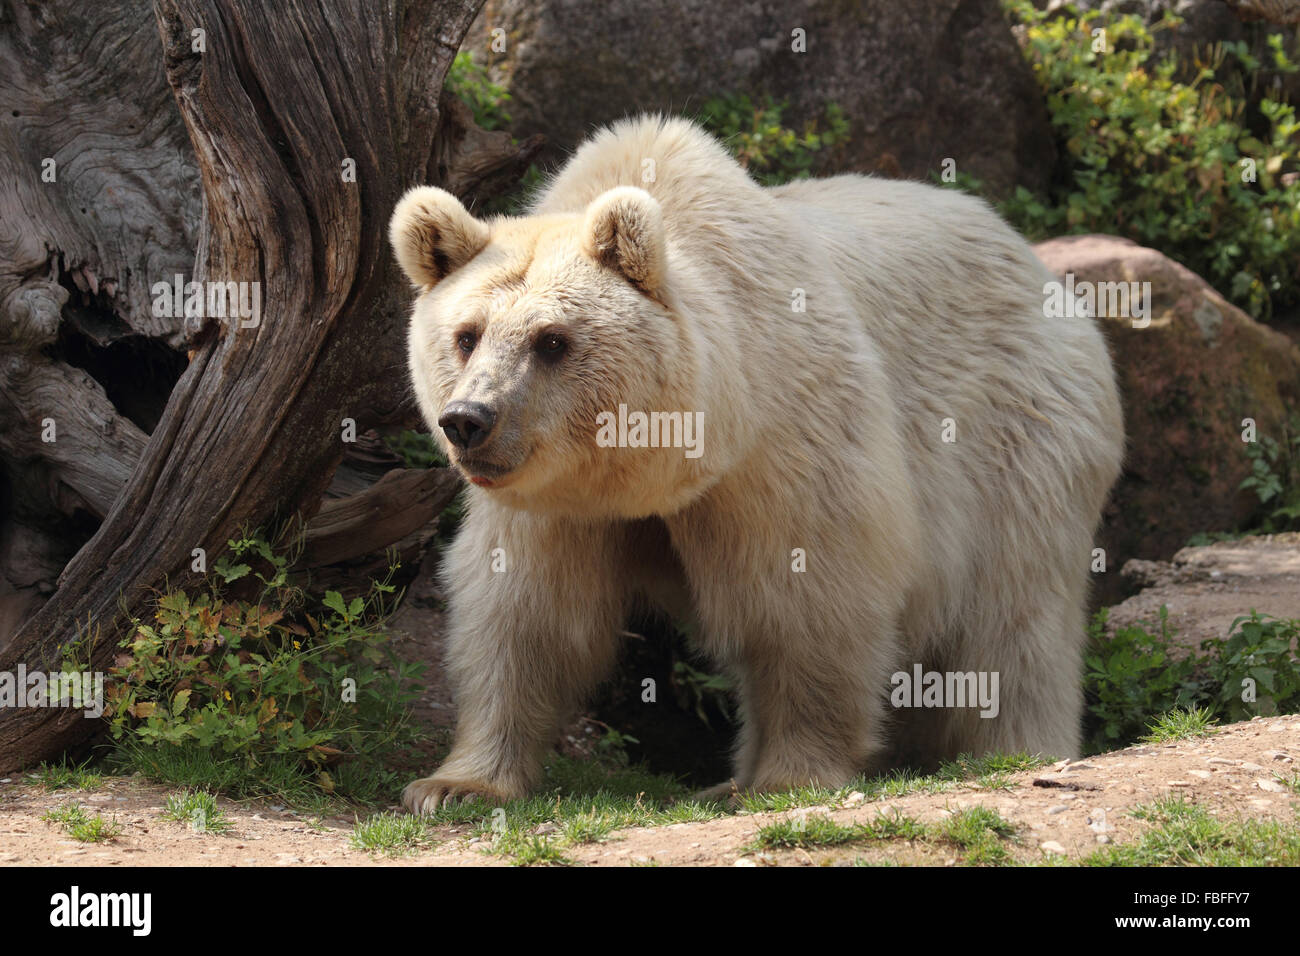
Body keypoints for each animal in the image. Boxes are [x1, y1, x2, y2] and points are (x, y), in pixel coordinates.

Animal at [388, 114, 1124, 813]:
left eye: (551, 341)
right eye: (466, 335)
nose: (469, 420)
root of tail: (1033, 261)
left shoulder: (785, 440)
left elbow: (811, 594)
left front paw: (792, 774)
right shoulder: (555, 499)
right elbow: (525, 613)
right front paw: (455, 784)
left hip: (1020, 436)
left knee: (1013, 616)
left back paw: (1014, 749)